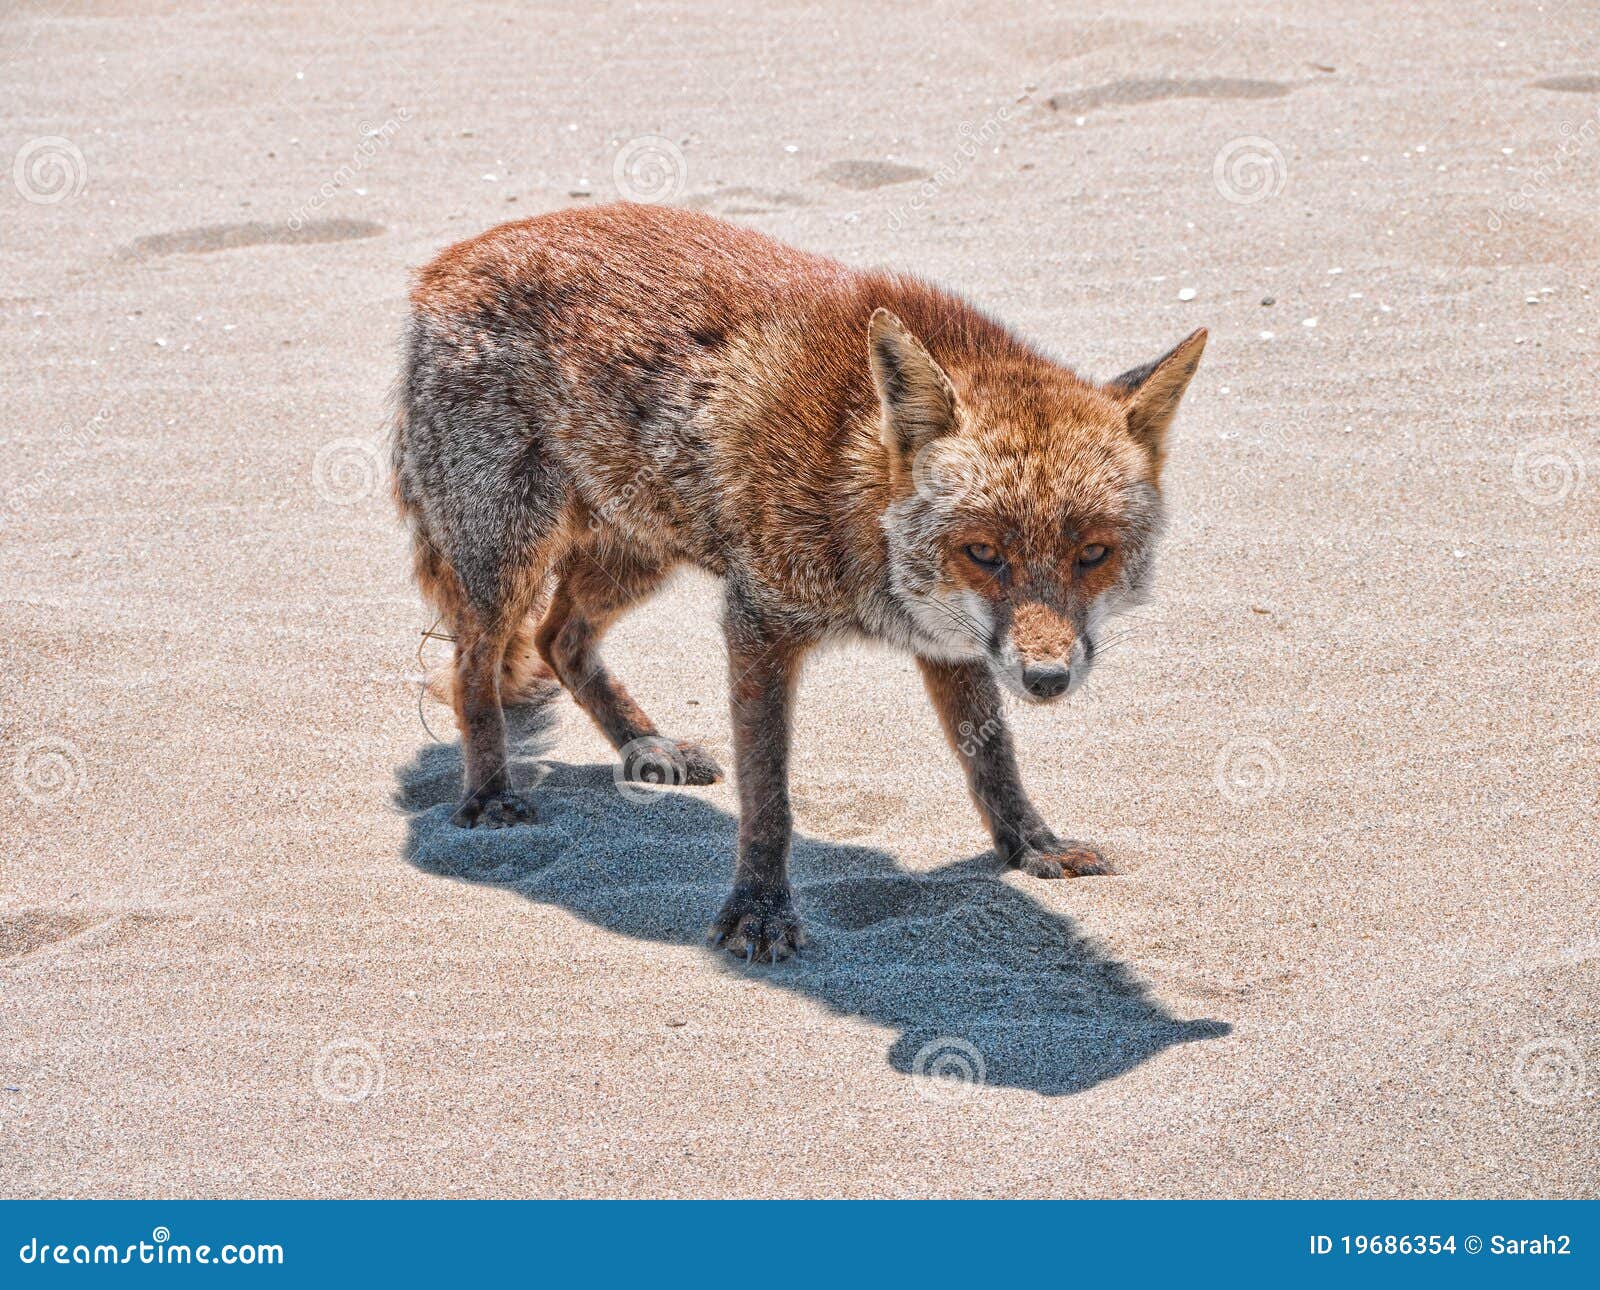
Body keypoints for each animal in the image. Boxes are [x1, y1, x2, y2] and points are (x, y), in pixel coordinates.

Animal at [392, 203, 1205, 963]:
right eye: (983, 552)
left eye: (1093, 554)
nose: (1046, 680)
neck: (852, 482)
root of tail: (445, 263)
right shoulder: (758, 621)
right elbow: (768, 796)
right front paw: (759, 907)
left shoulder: (948, 643)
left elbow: (992, 761)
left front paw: (1031, 844)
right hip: (510, 554)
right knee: (474, 669)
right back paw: (489, 791)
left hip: (639, 553)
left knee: (556, 639)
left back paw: (644, 746)